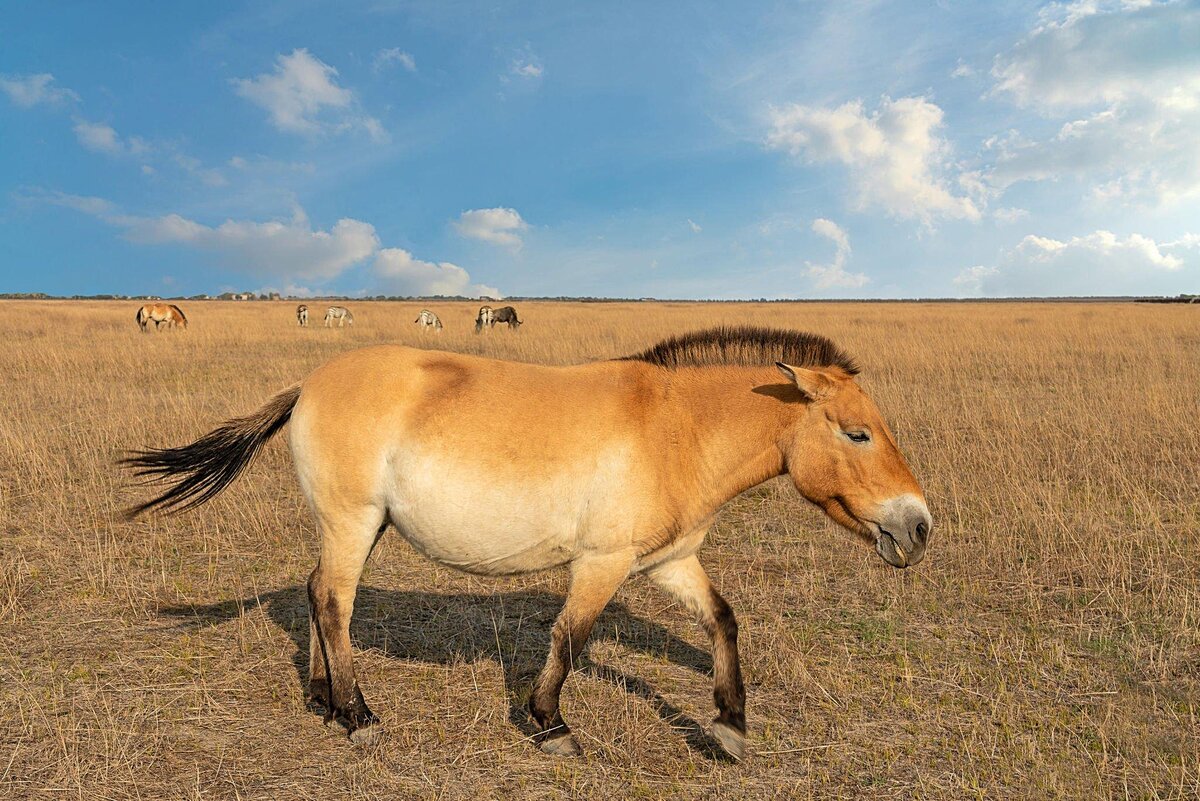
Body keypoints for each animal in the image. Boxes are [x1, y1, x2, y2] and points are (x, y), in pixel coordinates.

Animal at [119, 326, 926, 762]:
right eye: (857, 433)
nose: (918, 527)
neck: (678, 428)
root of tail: (309, 385)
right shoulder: (602, 563)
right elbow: (569, 637)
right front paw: (550, 726)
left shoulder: (668, 561)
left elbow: (722, 620)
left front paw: (730, 726)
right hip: (351, 521)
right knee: (333, 601)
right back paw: (357, 715)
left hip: (358, 526)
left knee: (320, 597)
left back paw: (324, 699)